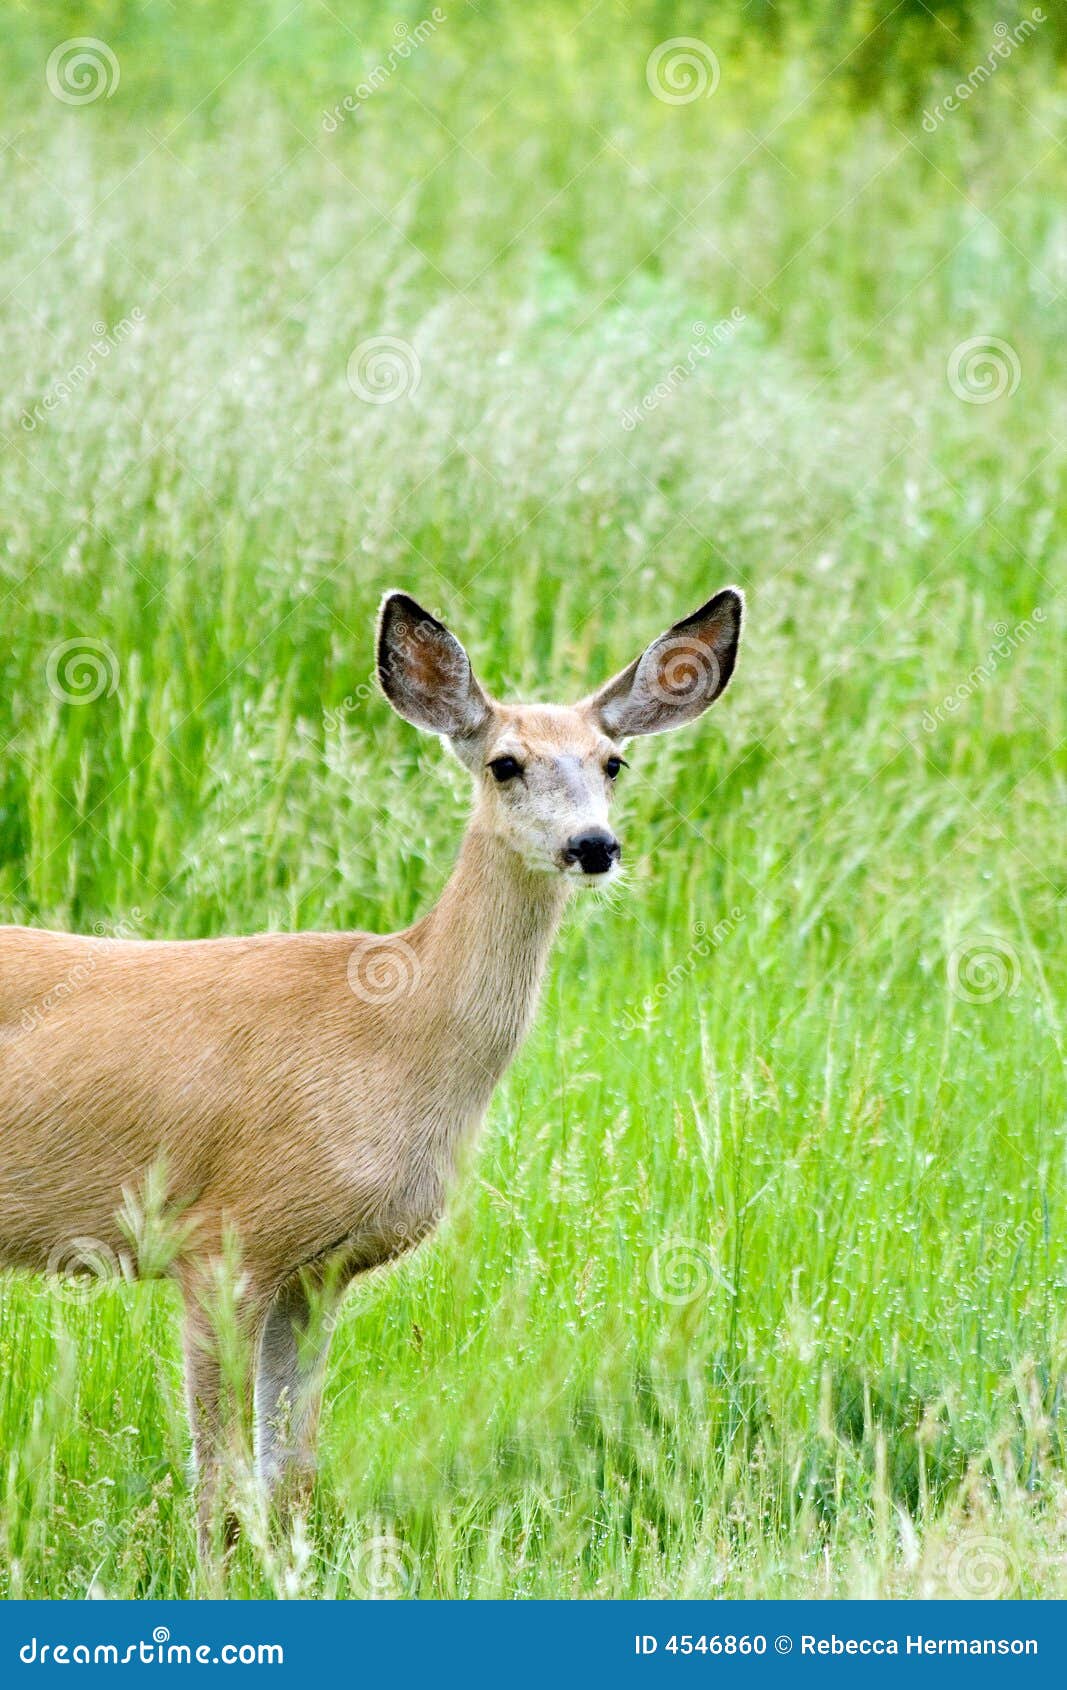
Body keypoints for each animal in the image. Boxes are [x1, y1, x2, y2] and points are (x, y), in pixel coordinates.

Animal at [0, 585, 743, 1554]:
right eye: (504, 763)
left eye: (612, 762)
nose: (592, 845)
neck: (390, 1031)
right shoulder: (221, 1238)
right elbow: (218, 1485)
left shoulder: (319, 1270)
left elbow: (292, 1476)